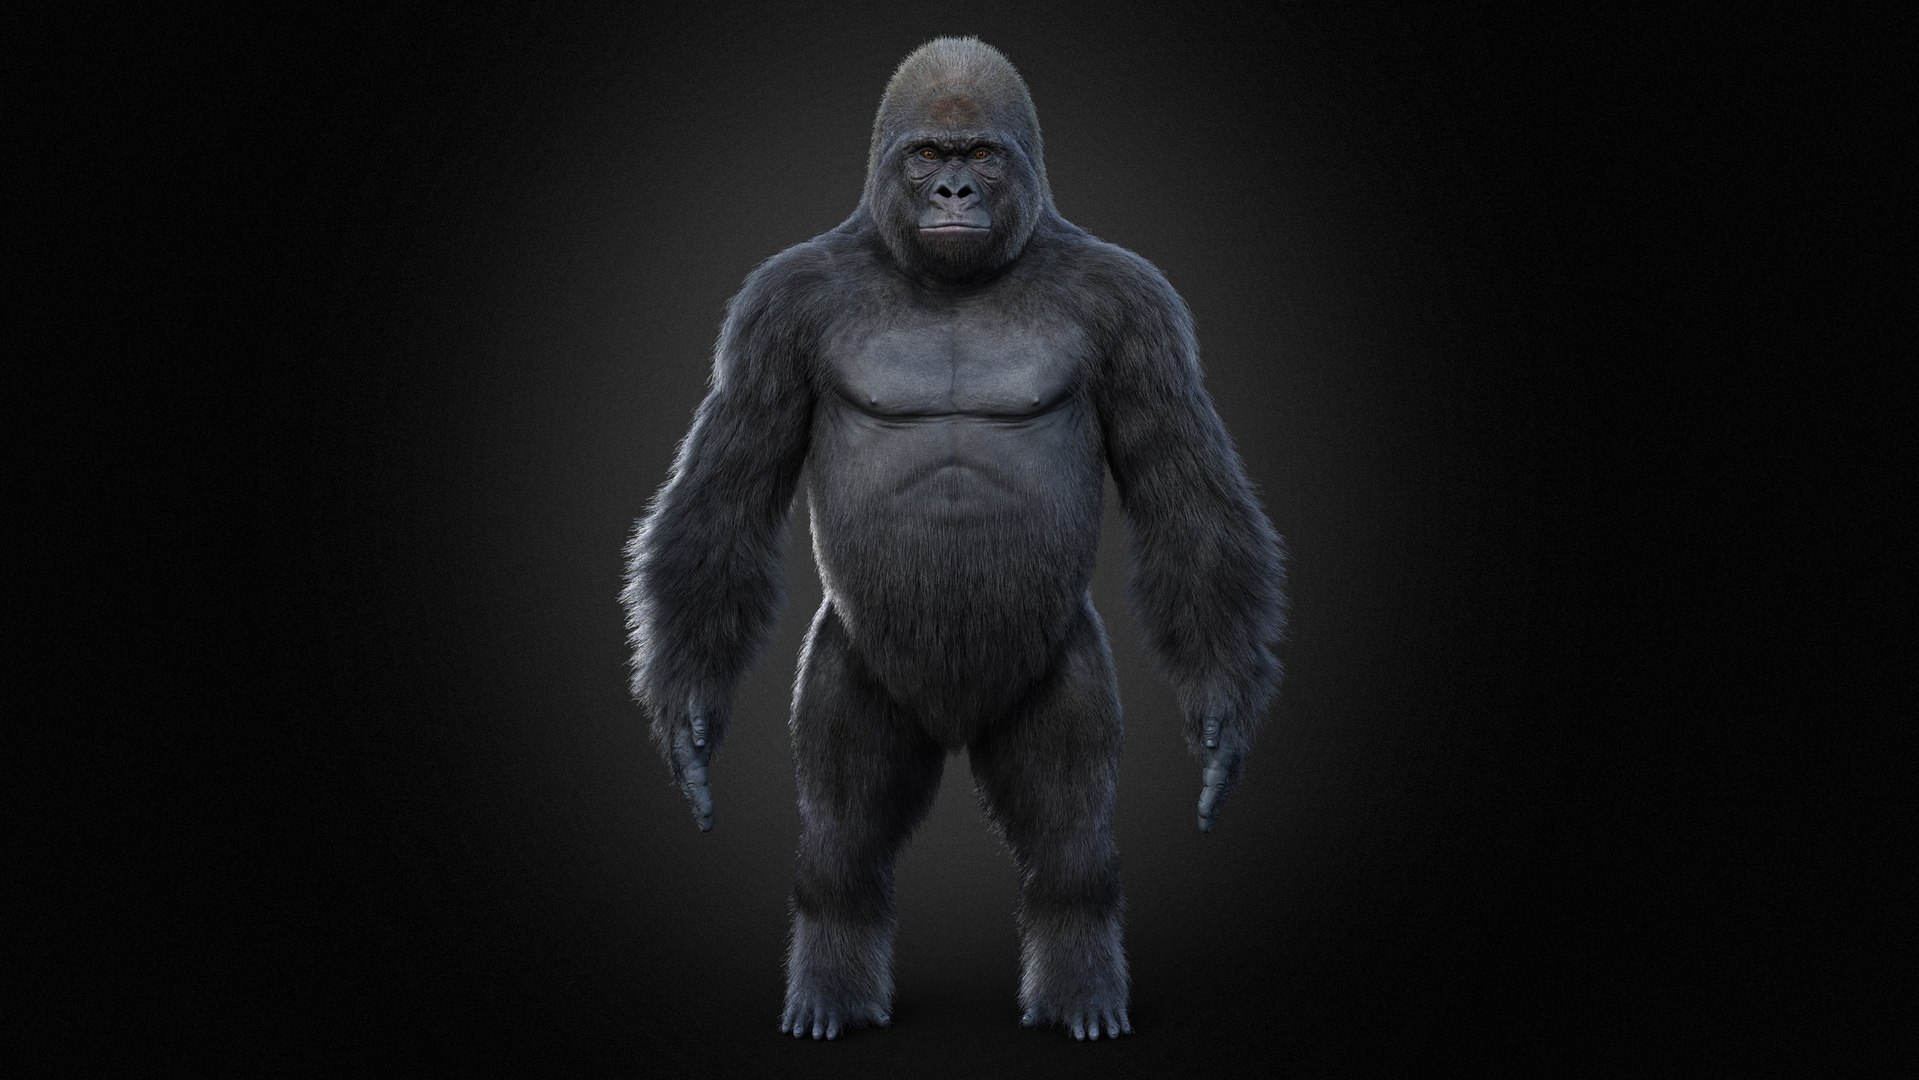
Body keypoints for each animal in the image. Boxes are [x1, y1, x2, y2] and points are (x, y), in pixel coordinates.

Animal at [621, 36, 1286, 1041]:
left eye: (980, 156)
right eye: (928, 155)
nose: (953, 194)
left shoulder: (1136, 305)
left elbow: (1184, 498)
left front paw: (1221, 713)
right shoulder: (777, 305)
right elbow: (728, 493)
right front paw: (690, 715)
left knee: (1068, 834)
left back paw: (1079, 983)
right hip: (858, 680)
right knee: (845, 834)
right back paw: (832, 982)